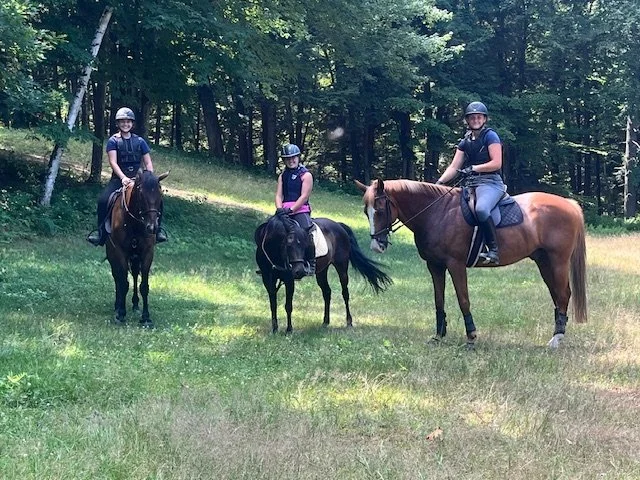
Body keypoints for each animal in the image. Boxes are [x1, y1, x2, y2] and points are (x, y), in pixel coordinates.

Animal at [106, 170, 168, 327]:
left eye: (160, 193)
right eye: (141, 194)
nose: (152, 227)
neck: (134, 222)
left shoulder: (147, 253)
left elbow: (144, 286)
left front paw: (146, 317)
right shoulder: (119, 252)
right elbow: (123, 282)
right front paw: (121, 314)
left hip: (135, 257)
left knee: (134, 274)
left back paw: (135, 304)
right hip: (112, 254)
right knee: (117, 276)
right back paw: (117, 306)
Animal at [254, 213, 392, 333]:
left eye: (305, 244)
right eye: (288, 245)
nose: (299, 271)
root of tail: (338, 225)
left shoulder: (289, 279)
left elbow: (288, 305)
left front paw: (289, 330)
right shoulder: (267, 278)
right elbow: (273, 304)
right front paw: (274, 329)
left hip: (342, 267)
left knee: (345, 293)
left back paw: (349, 321)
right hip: (322, 271)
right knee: (327, 292)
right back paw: (325, 322)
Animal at [356, 178, 587, 348]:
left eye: (380, 210)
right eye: (365, 211)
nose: (376, 245)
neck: (436, 213)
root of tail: (569, 204)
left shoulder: (455, 265)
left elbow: (463, 299)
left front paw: (471, 337)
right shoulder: (435, 266)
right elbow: (438, 300)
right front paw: (439, 335)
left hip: (558, 261)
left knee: (563, 294)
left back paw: (557, 339)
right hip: (544, 262)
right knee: (557, 295)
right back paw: (558, 334)